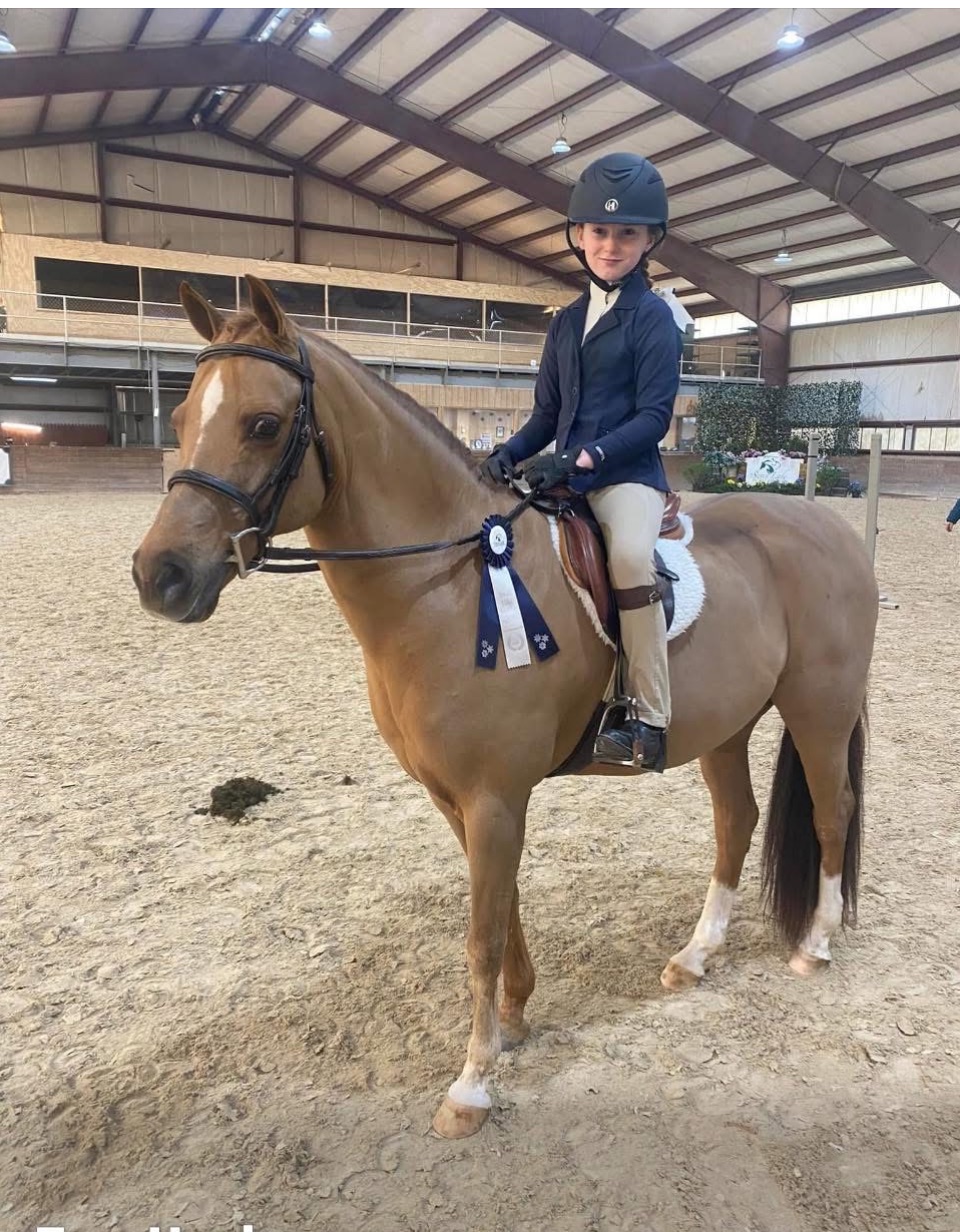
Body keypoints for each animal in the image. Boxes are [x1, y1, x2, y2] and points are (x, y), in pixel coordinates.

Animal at [133, 275, 878, 1139]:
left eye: (262, 423)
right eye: (181, 420)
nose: (159, 576)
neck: (447, 585)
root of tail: (828, 526)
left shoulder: (494, 796)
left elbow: (480, 935)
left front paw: (472, 1083)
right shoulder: (460, 798)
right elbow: (505, 907)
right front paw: (515, 1020)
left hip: (820, 711)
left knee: (831, 812)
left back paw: (815, 945)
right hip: (726, 728)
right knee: (737, 821)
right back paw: (696, 957)